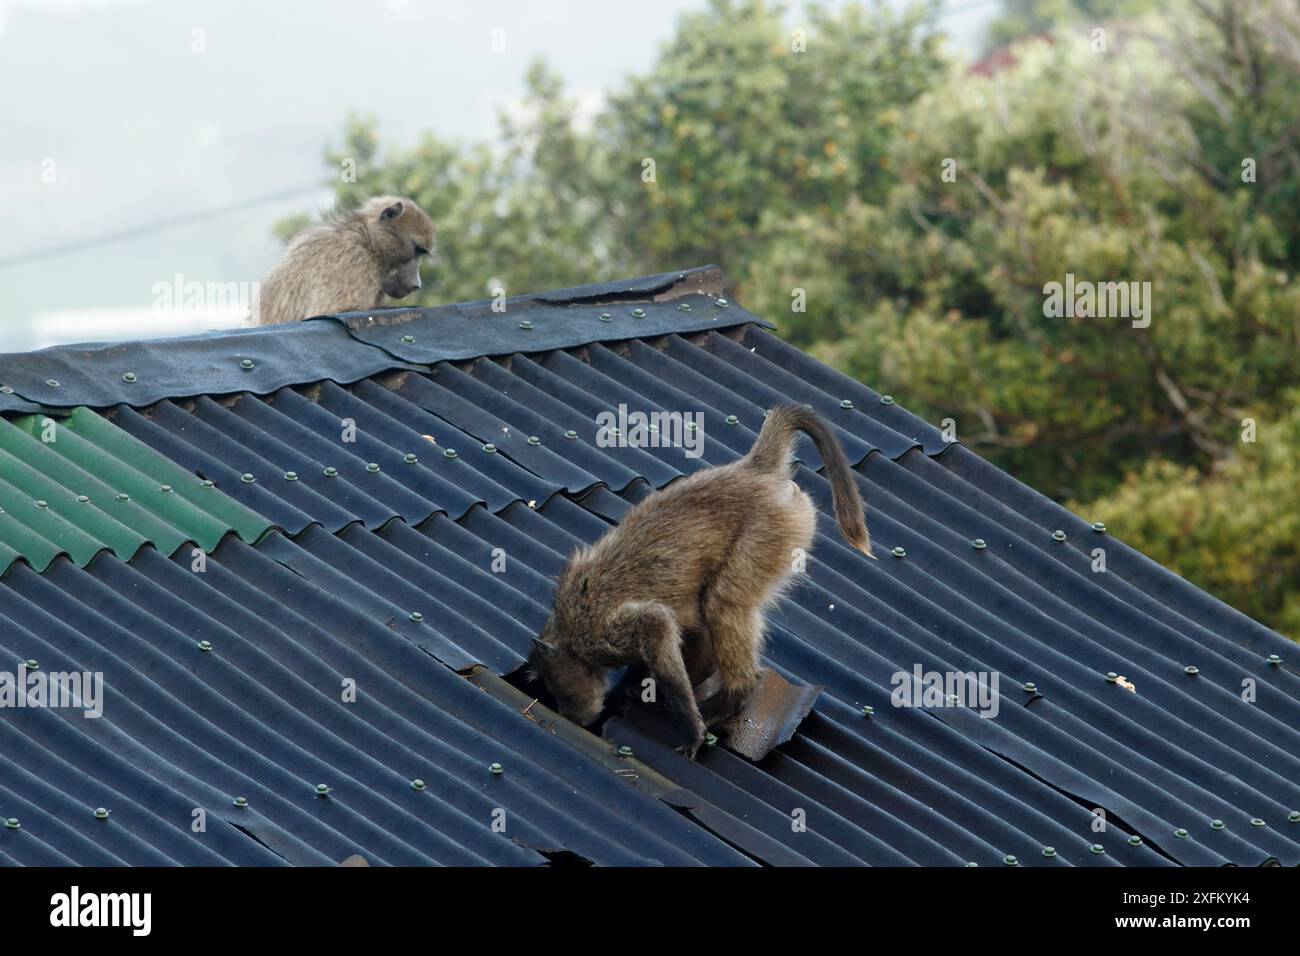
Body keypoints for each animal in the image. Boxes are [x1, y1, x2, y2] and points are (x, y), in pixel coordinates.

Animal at [253, 195, 436, 325]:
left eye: (421, 252)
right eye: (417, 250)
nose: (417, 284)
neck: (369, 241)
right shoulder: (355, 262)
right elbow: (331, 311)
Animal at [528, 404, 871, 757]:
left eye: (558, 688)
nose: (569, 714)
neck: (569, 628)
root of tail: (753, 468)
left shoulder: (603, 633)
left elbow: (656, 624)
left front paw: (690, 728)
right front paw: (635, 688)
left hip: (773, 529)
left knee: (723, 602)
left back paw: (732, 696)